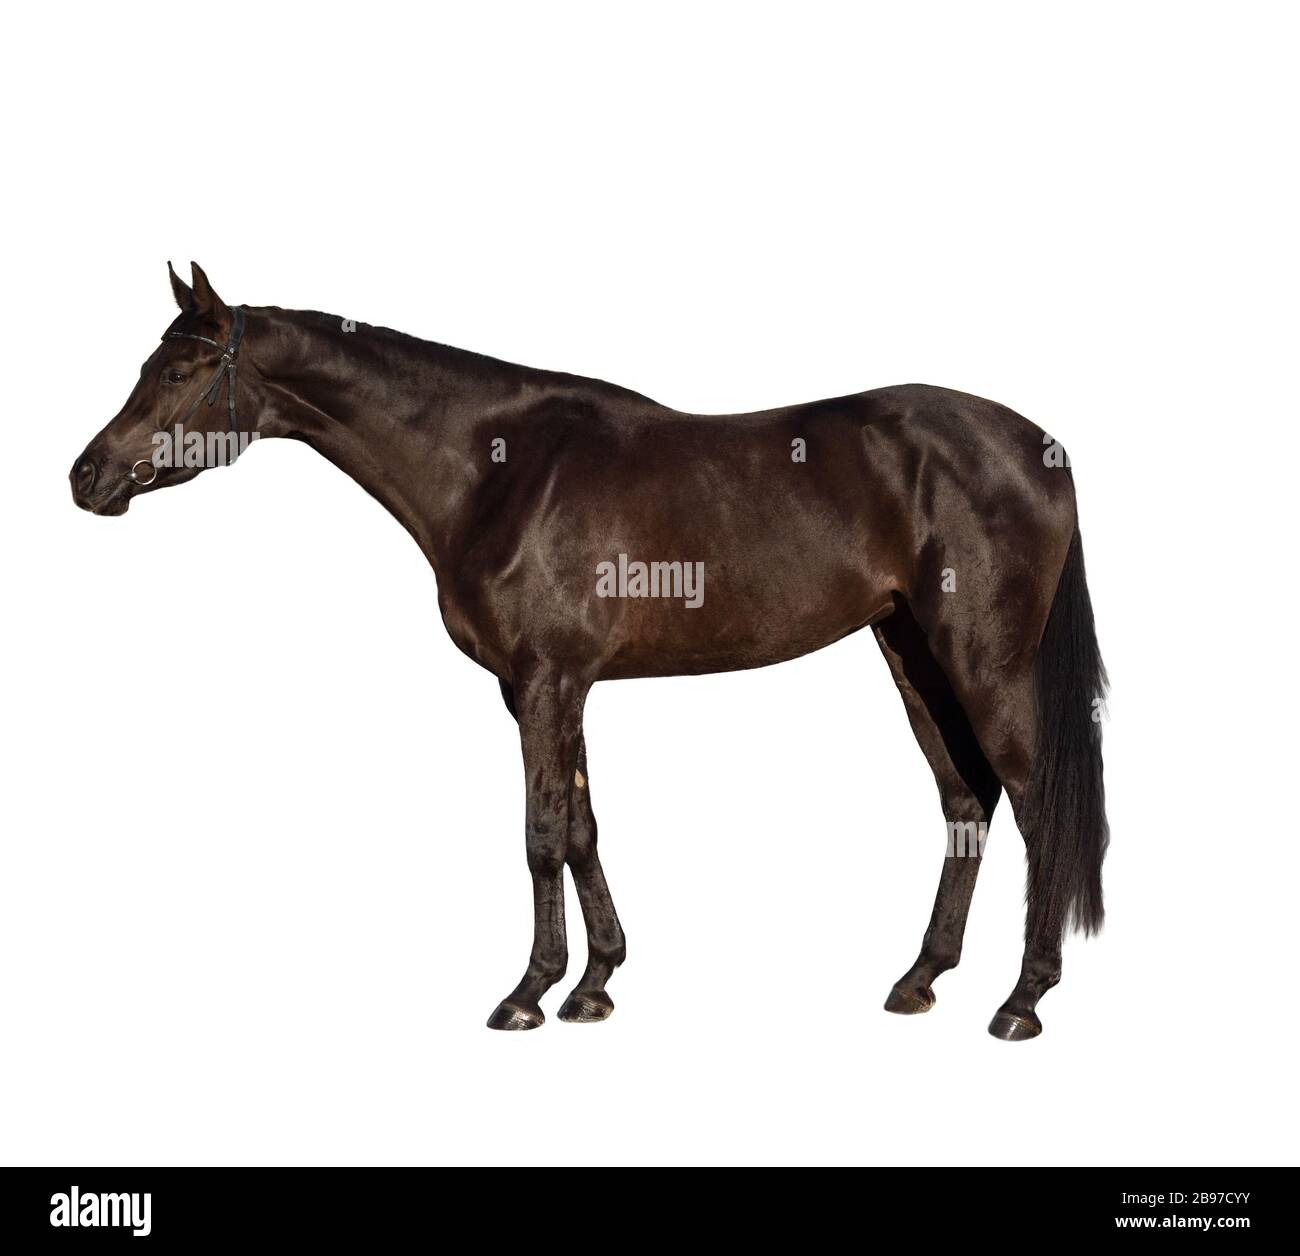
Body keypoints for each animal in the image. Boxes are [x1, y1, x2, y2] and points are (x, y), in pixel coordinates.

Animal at [71, 263, 1108, 1039]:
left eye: (178, 373)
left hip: (984, 664)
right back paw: (920, 979)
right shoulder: (549, 688)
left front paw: (528, 993)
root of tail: (1037, 445)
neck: (495, 468)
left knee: (1036, 805)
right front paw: (596, 984)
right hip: (911, 653)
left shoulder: (546, 681)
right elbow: (580, 827)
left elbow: (539, 834)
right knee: (966, 802)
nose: (86, 476)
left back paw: (1022, 1002)